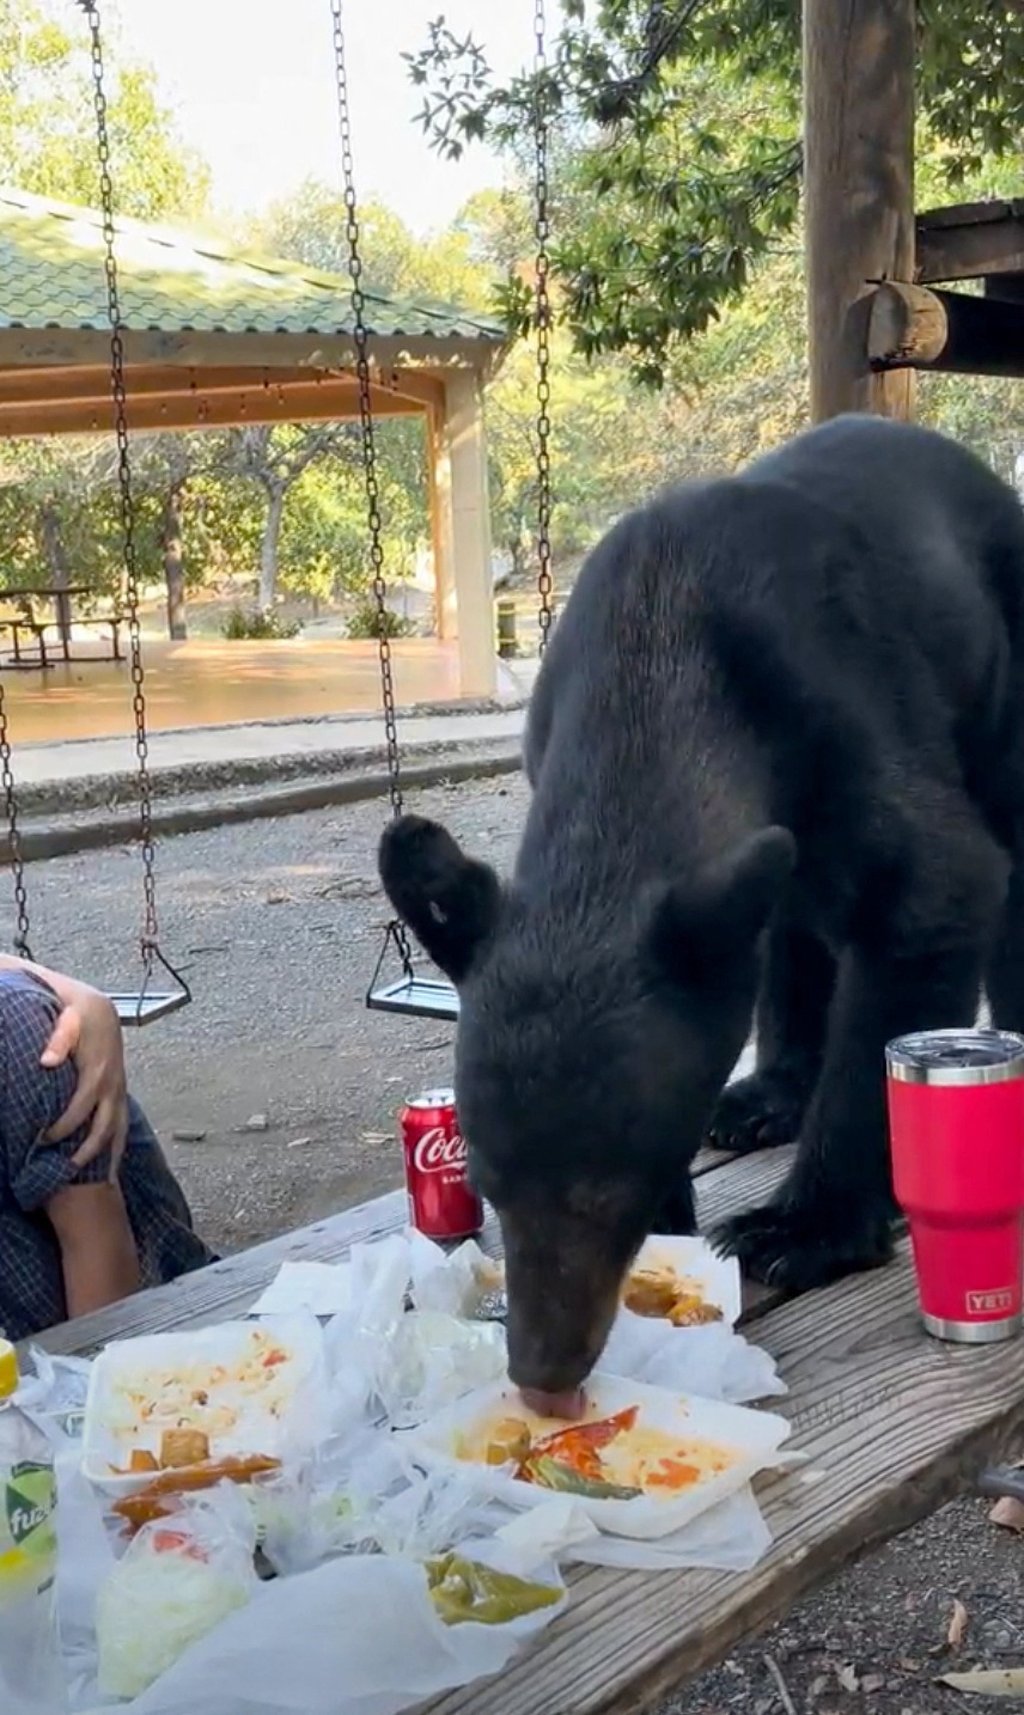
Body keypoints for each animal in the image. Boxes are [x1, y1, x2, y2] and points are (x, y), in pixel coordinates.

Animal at [379, 413, 1024, 1415]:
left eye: (614, 1189)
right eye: (485, 1180)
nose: (541, 1371)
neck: (657, 643)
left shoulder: (837, 694)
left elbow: (935, 893)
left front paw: (803, 1226)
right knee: (793, 922)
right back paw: (766, 1094)